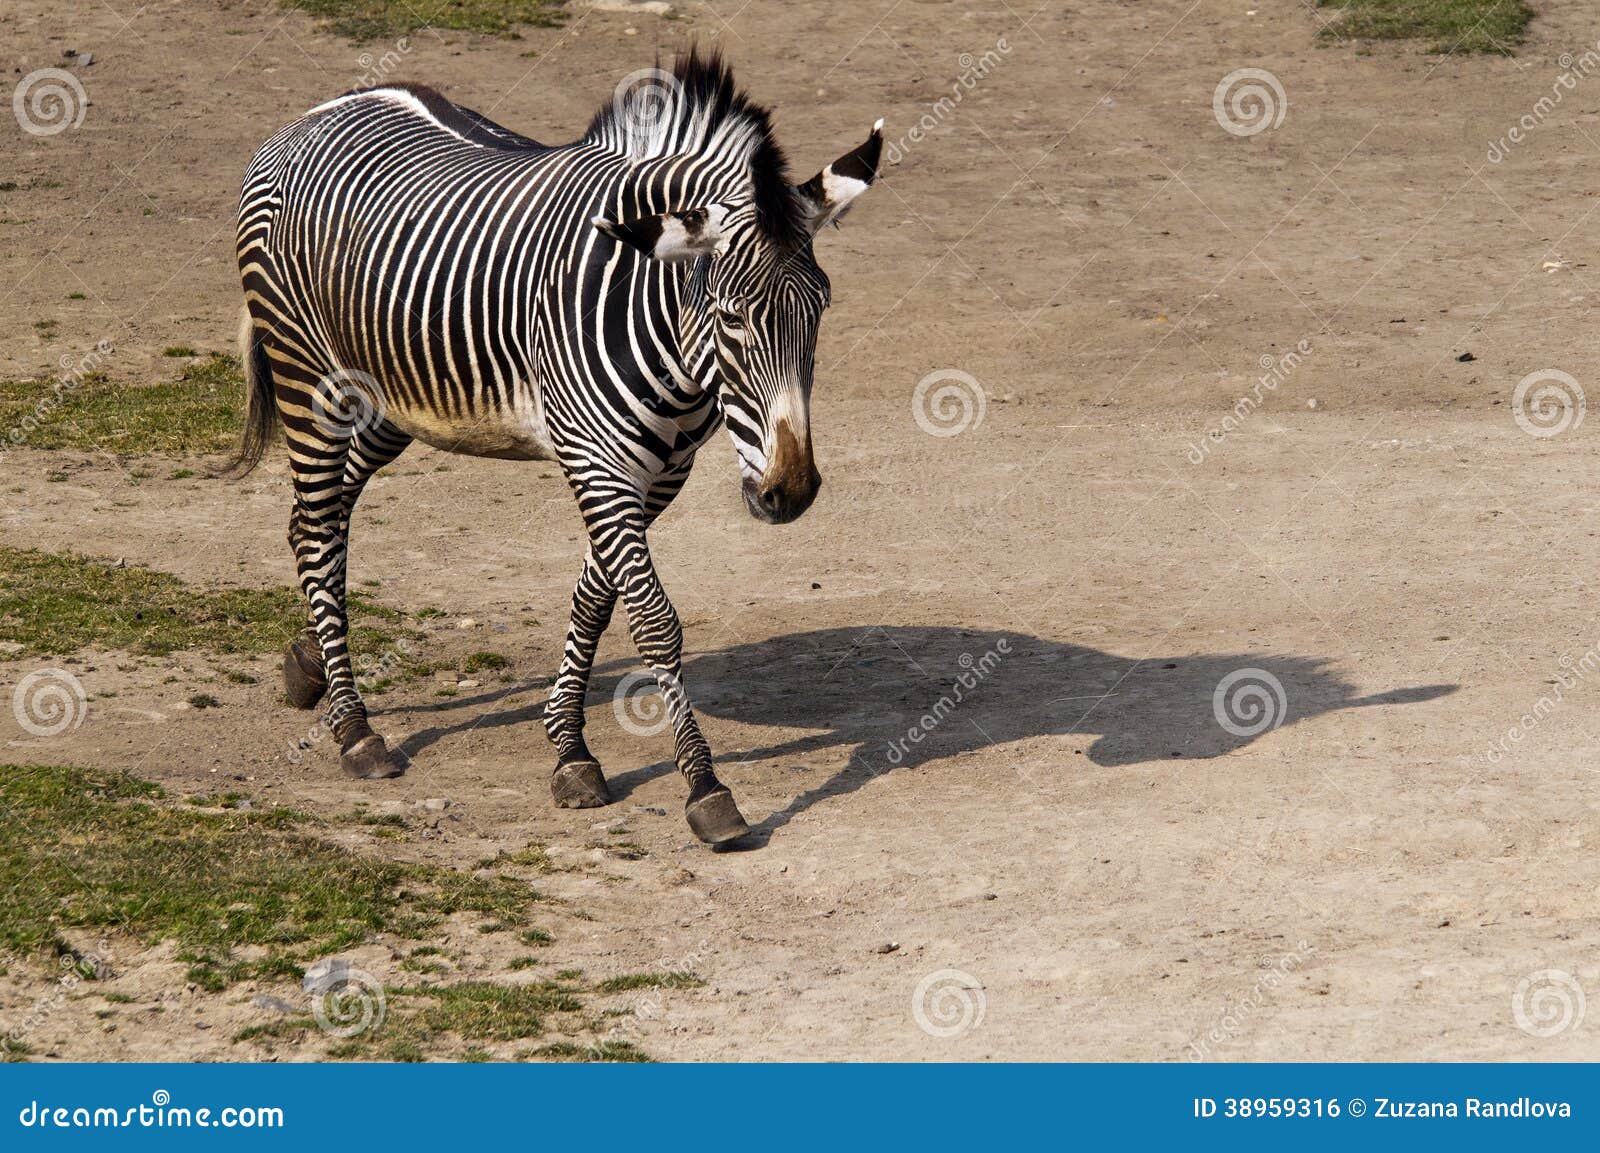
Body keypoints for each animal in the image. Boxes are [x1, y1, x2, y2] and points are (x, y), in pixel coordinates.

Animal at [234, 50, 882, 845]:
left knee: (311, 520)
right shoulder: (598, 461)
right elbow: (654, 620)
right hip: (311, 379)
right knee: (323, 526)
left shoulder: (660, 470)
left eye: (821, 307)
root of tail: (328, 107)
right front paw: (705, 788)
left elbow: (596, 597)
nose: (789, 493)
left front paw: (569, 749)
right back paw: (355, 730)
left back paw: (309, 669)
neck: (663, 326)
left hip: (398, 396)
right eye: (732, 318)